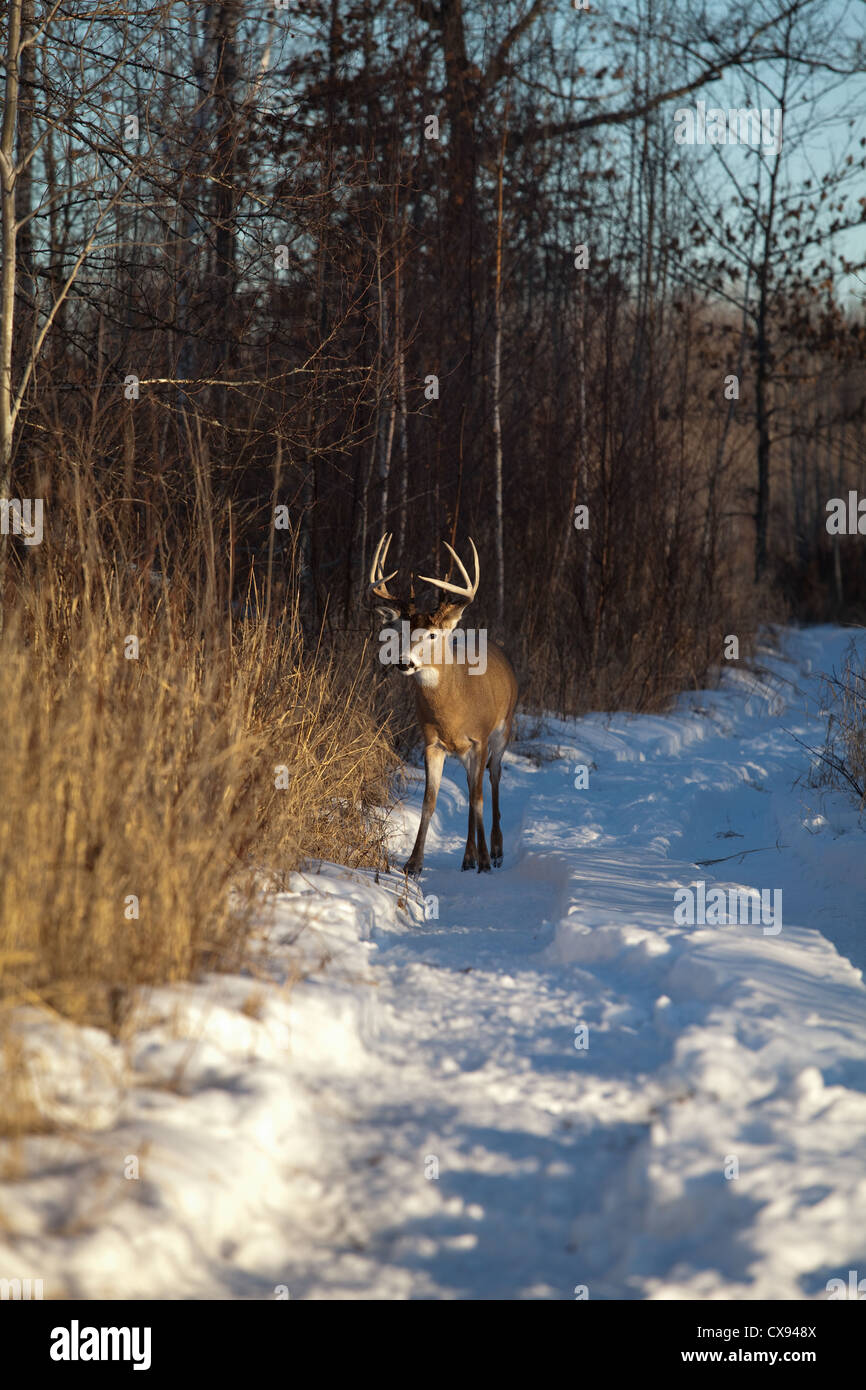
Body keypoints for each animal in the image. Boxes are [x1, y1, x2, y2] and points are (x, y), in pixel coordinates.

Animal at [369, 533, 518, 877]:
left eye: (433, 635)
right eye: (401, 630)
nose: (404, 662)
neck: (453, 707)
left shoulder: (479, 739)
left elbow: (478, 798)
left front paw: (486, 861)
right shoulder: (432, 743)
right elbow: (430, 801)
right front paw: (413, 863)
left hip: (503, 730)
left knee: (492, 779)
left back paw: (495, 851)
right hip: (464, 752)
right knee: (471, 784)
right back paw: (469, 856)